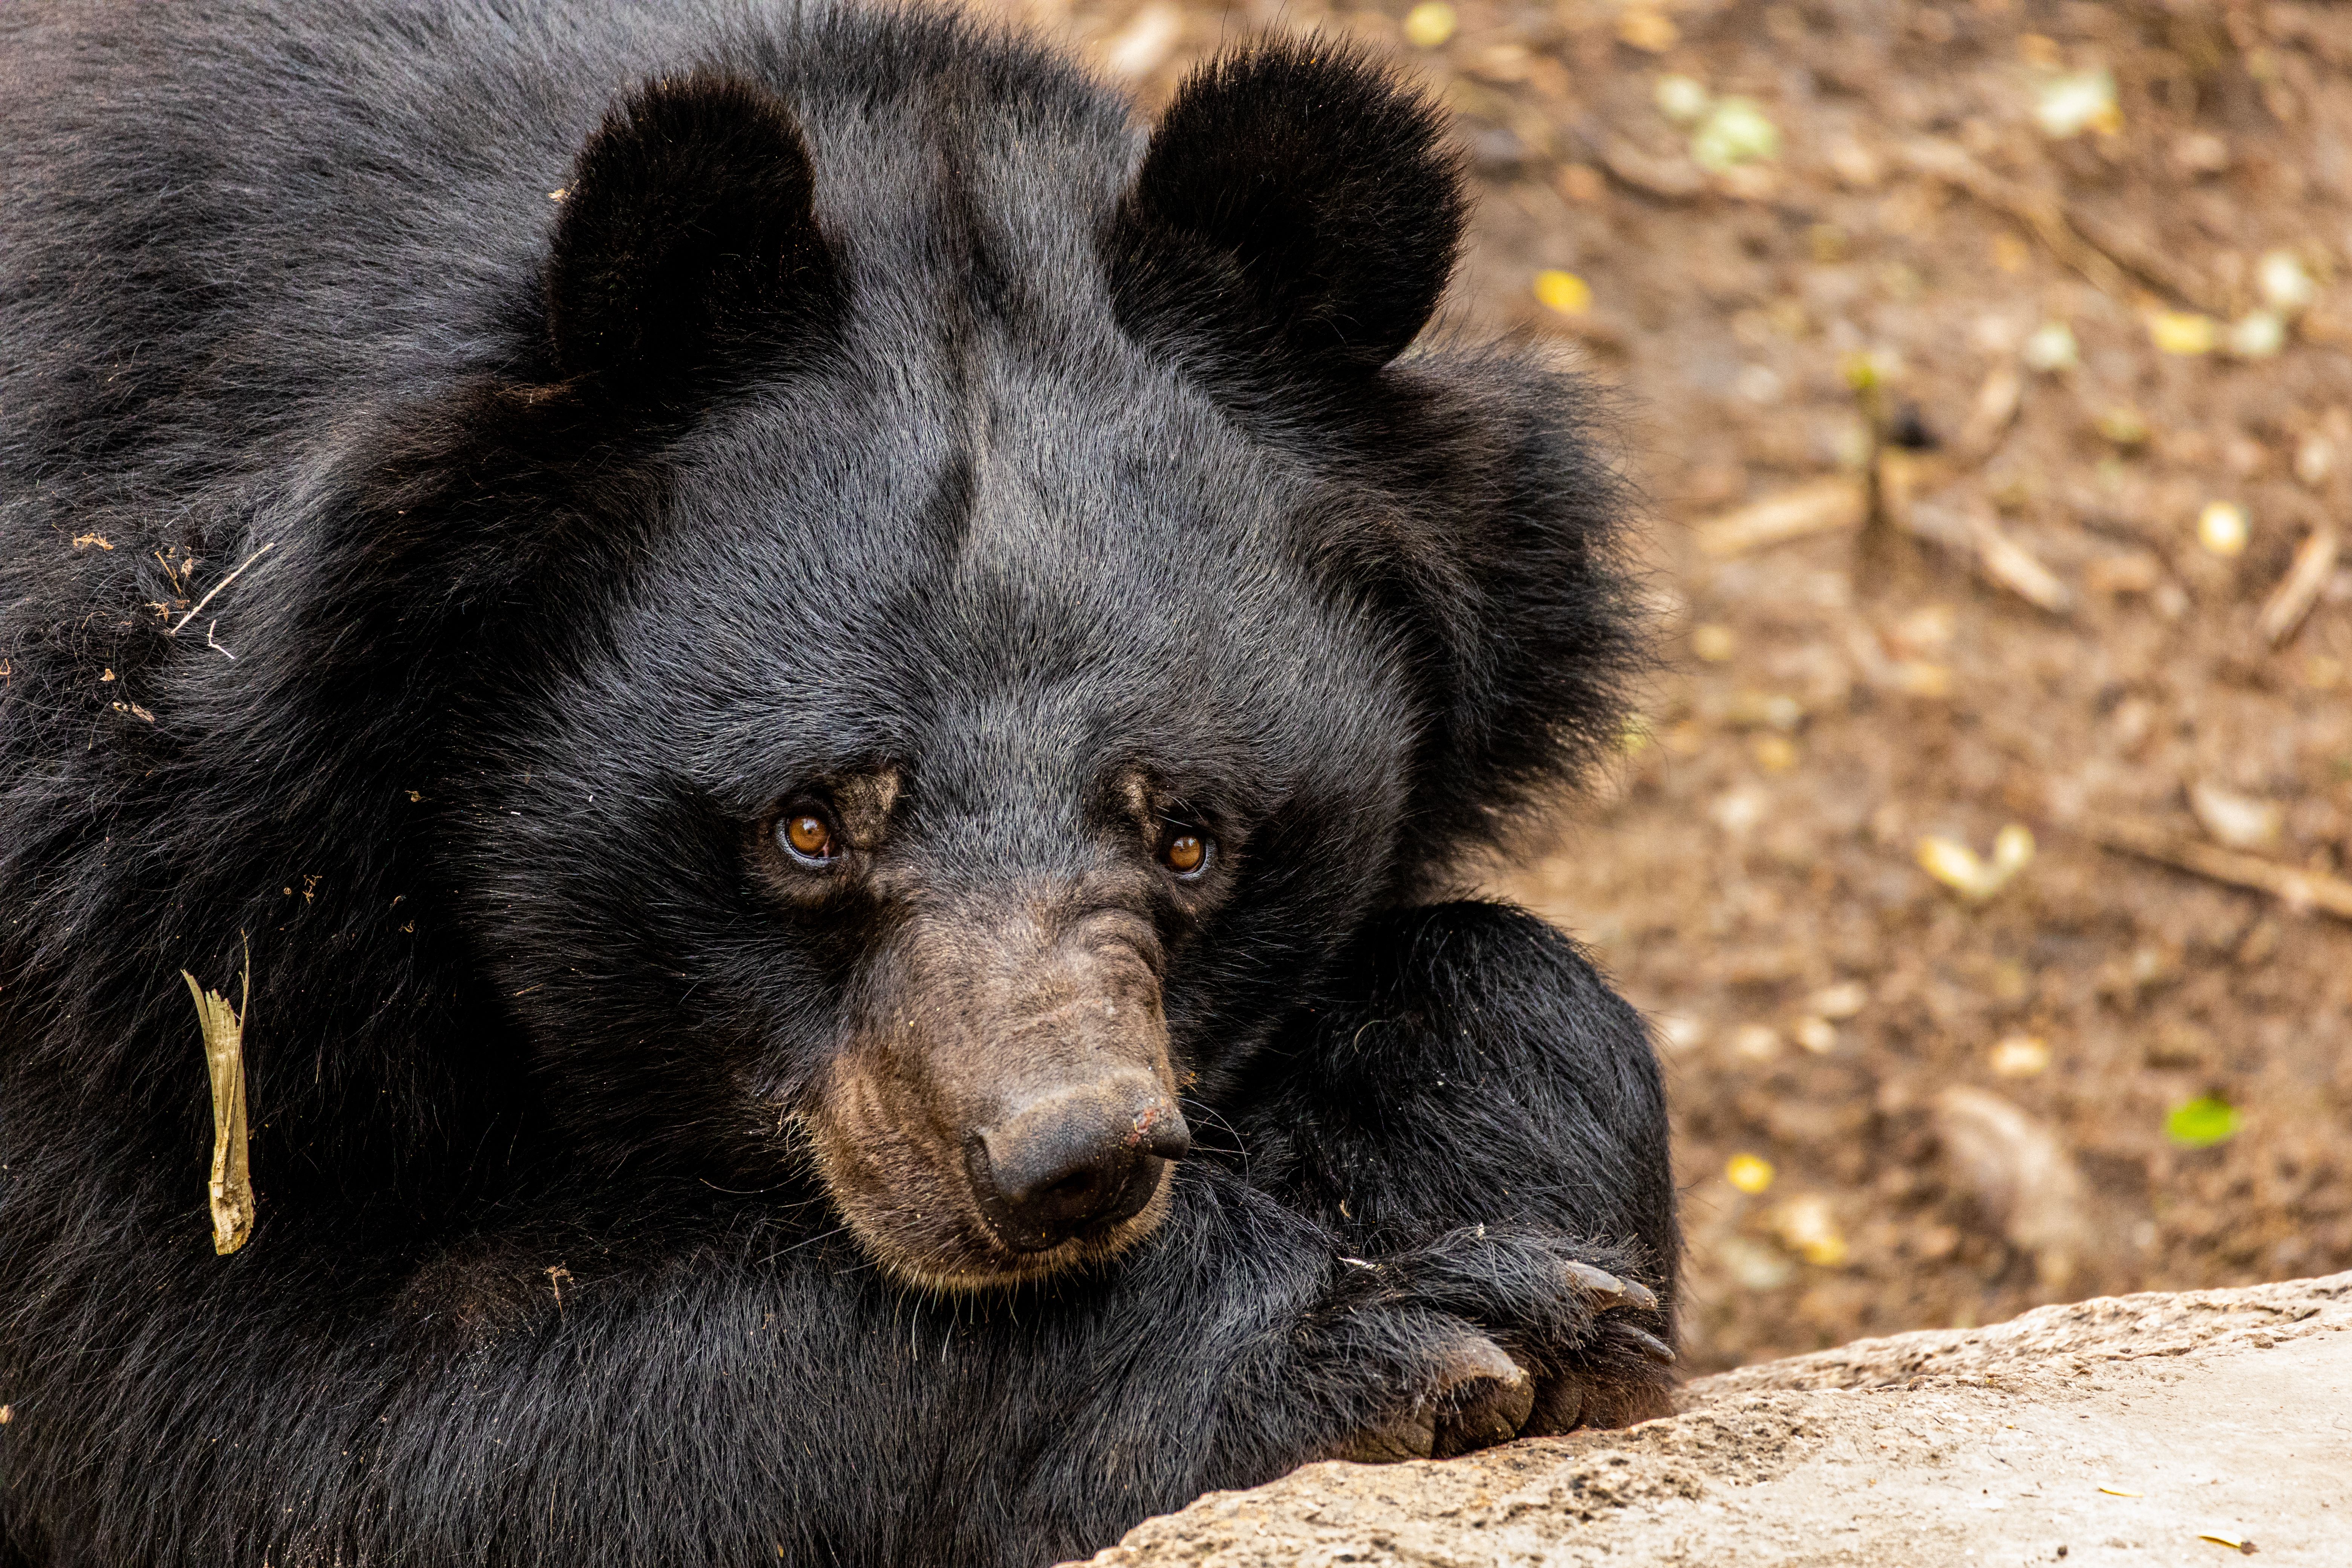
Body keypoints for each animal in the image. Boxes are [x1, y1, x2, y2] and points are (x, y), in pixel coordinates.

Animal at [0, 3, 1677, 1565]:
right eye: (806, 827)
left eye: (1193, 839)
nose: (1069, 1164)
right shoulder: (119, 928)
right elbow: (277, 1432)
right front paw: (1422, 1328)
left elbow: (1520, 997)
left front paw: (1526, 1232)